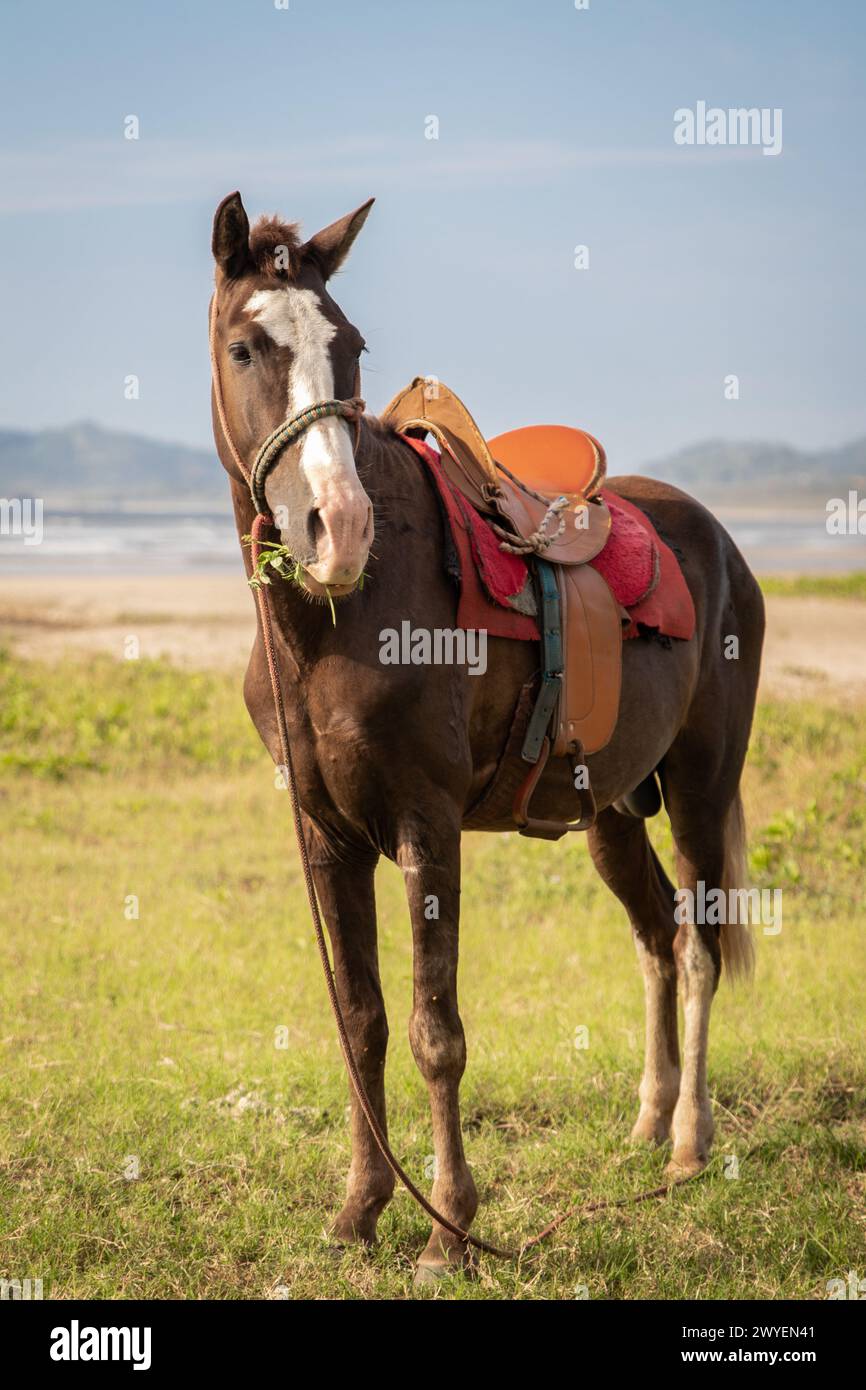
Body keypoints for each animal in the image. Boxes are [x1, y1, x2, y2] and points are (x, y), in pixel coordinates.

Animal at [208, 190, 765, 1281]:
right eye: (246, 346)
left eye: (350, 347)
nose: (335, 528)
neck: (337, 617)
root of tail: (720, 542)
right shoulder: (325, 835)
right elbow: (362, 1022)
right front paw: (358, 1213)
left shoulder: (428, 826)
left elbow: (437, 1031)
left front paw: (449, 1231)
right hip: (610, 811)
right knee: (654, 934)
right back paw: (646, 1121)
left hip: (699, 788)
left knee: (697, 948)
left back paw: (687, 1142)